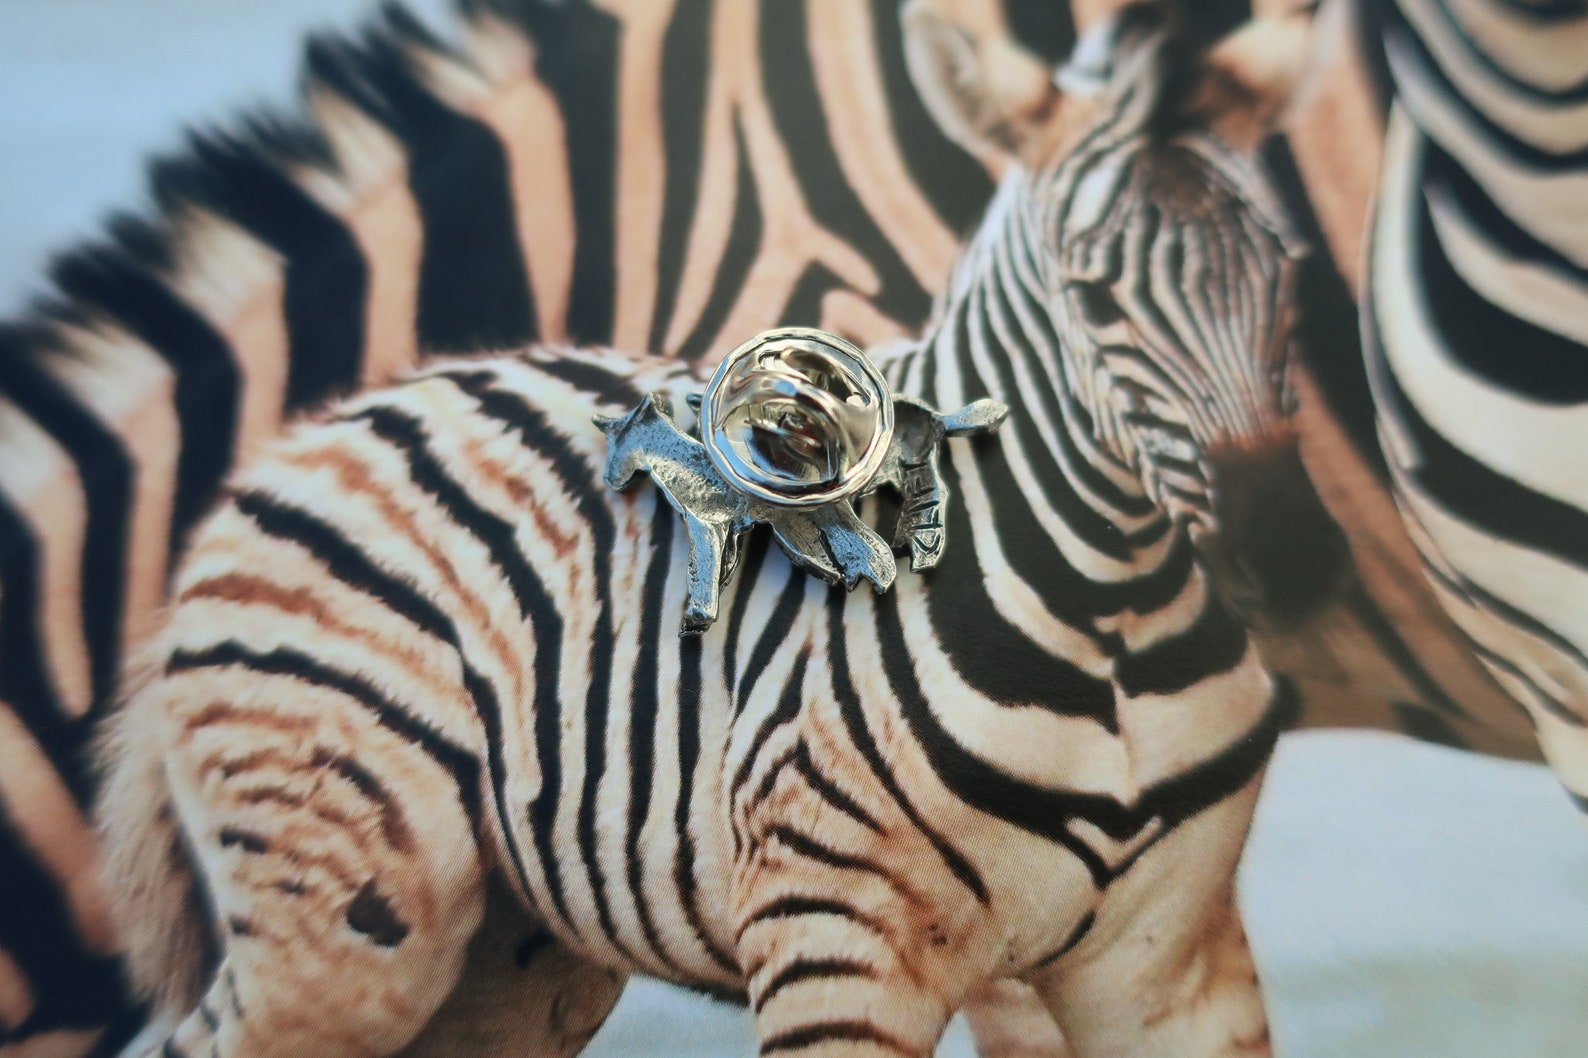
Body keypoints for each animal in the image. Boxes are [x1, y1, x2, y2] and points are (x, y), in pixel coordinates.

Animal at [90, 4, 1339, 1057]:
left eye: (1287, 270)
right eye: (1093, 298)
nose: (1291, 560)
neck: (1106, 614)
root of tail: (304, 433)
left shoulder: (1167, 965)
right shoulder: (835, 944)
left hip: (504, 950)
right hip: (348, 919)